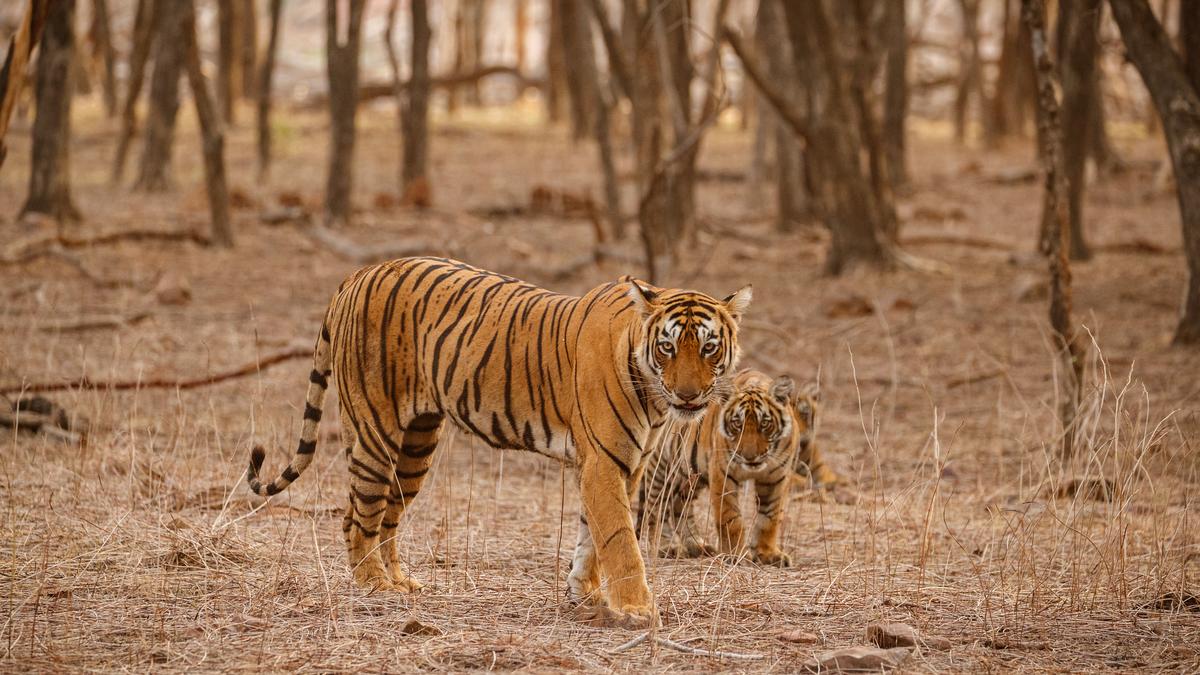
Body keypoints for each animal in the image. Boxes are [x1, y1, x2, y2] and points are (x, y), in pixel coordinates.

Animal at [244, 257, 751, 627]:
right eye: (668, 347)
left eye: (709, 347)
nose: (689, 395)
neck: (651, 390)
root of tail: (356, 275)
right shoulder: (606, 463)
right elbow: (620, 538)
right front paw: (637, 608)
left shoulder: (625, 464)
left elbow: (592, 535)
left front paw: (584, 595)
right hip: (375, 432)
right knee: (358, 516)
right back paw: (374, 584)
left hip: (416, 446)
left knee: (385, 515)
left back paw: (402, 581)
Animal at [639, 369, 819, 567]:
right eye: (737, 424)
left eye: (764, 423)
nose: (750, 456)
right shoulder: (722, 473)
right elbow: (730, 518)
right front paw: (735, 555)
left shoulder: (776, 477)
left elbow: (770, 518)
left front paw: (768, 554)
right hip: (662, 465)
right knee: (655, 506)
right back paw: (666, 546)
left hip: (692, 474)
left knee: (679, 505)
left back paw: (695, 544)